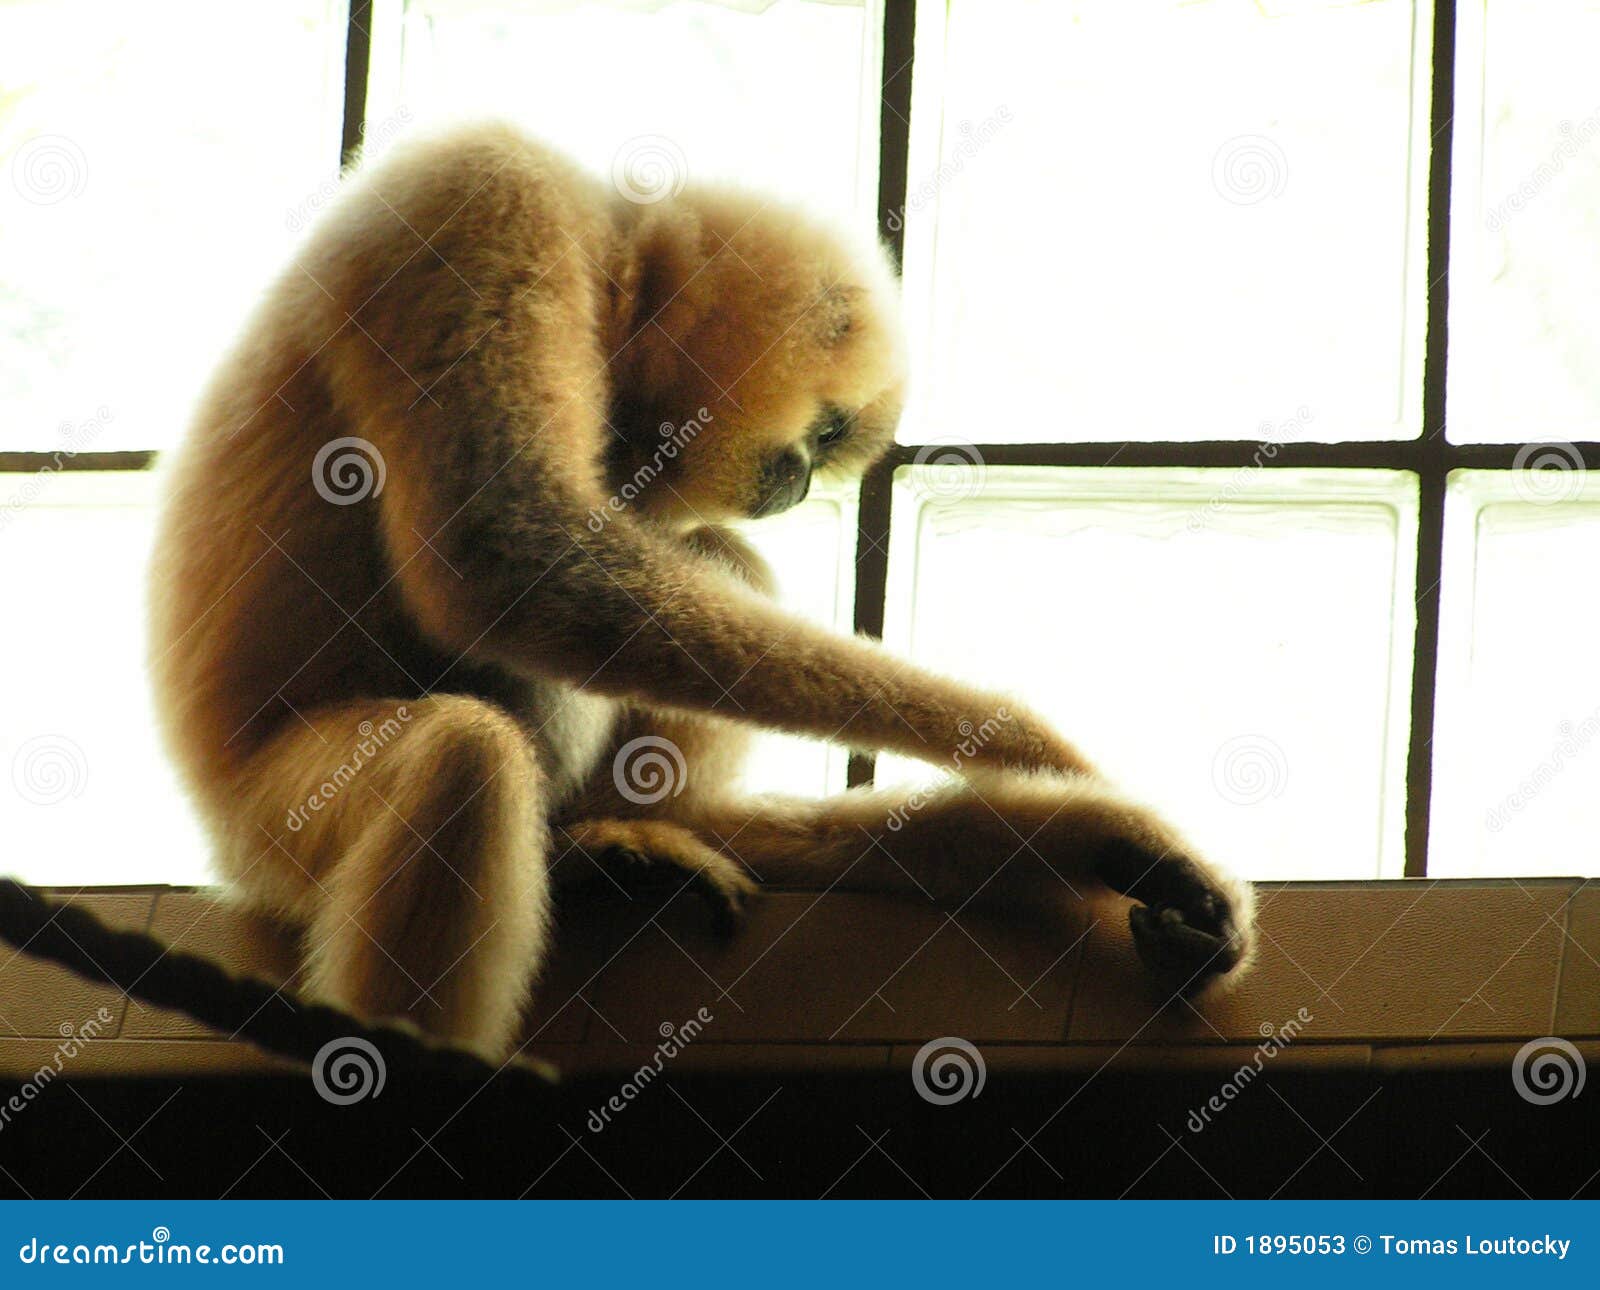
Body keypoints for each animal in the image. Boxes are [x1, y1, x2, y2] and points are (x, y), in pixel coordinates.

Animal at [148, 121, 1256, 1057]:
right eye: (822, 433)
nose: (801, 480)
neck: (599, 256)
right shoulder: (486, 196)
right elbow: (506, 546)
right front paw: (1029, 740)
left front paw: (1101, 834)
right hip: (271, 828)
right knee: (464, 754)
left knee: (715, 562)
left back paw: (595, 847)